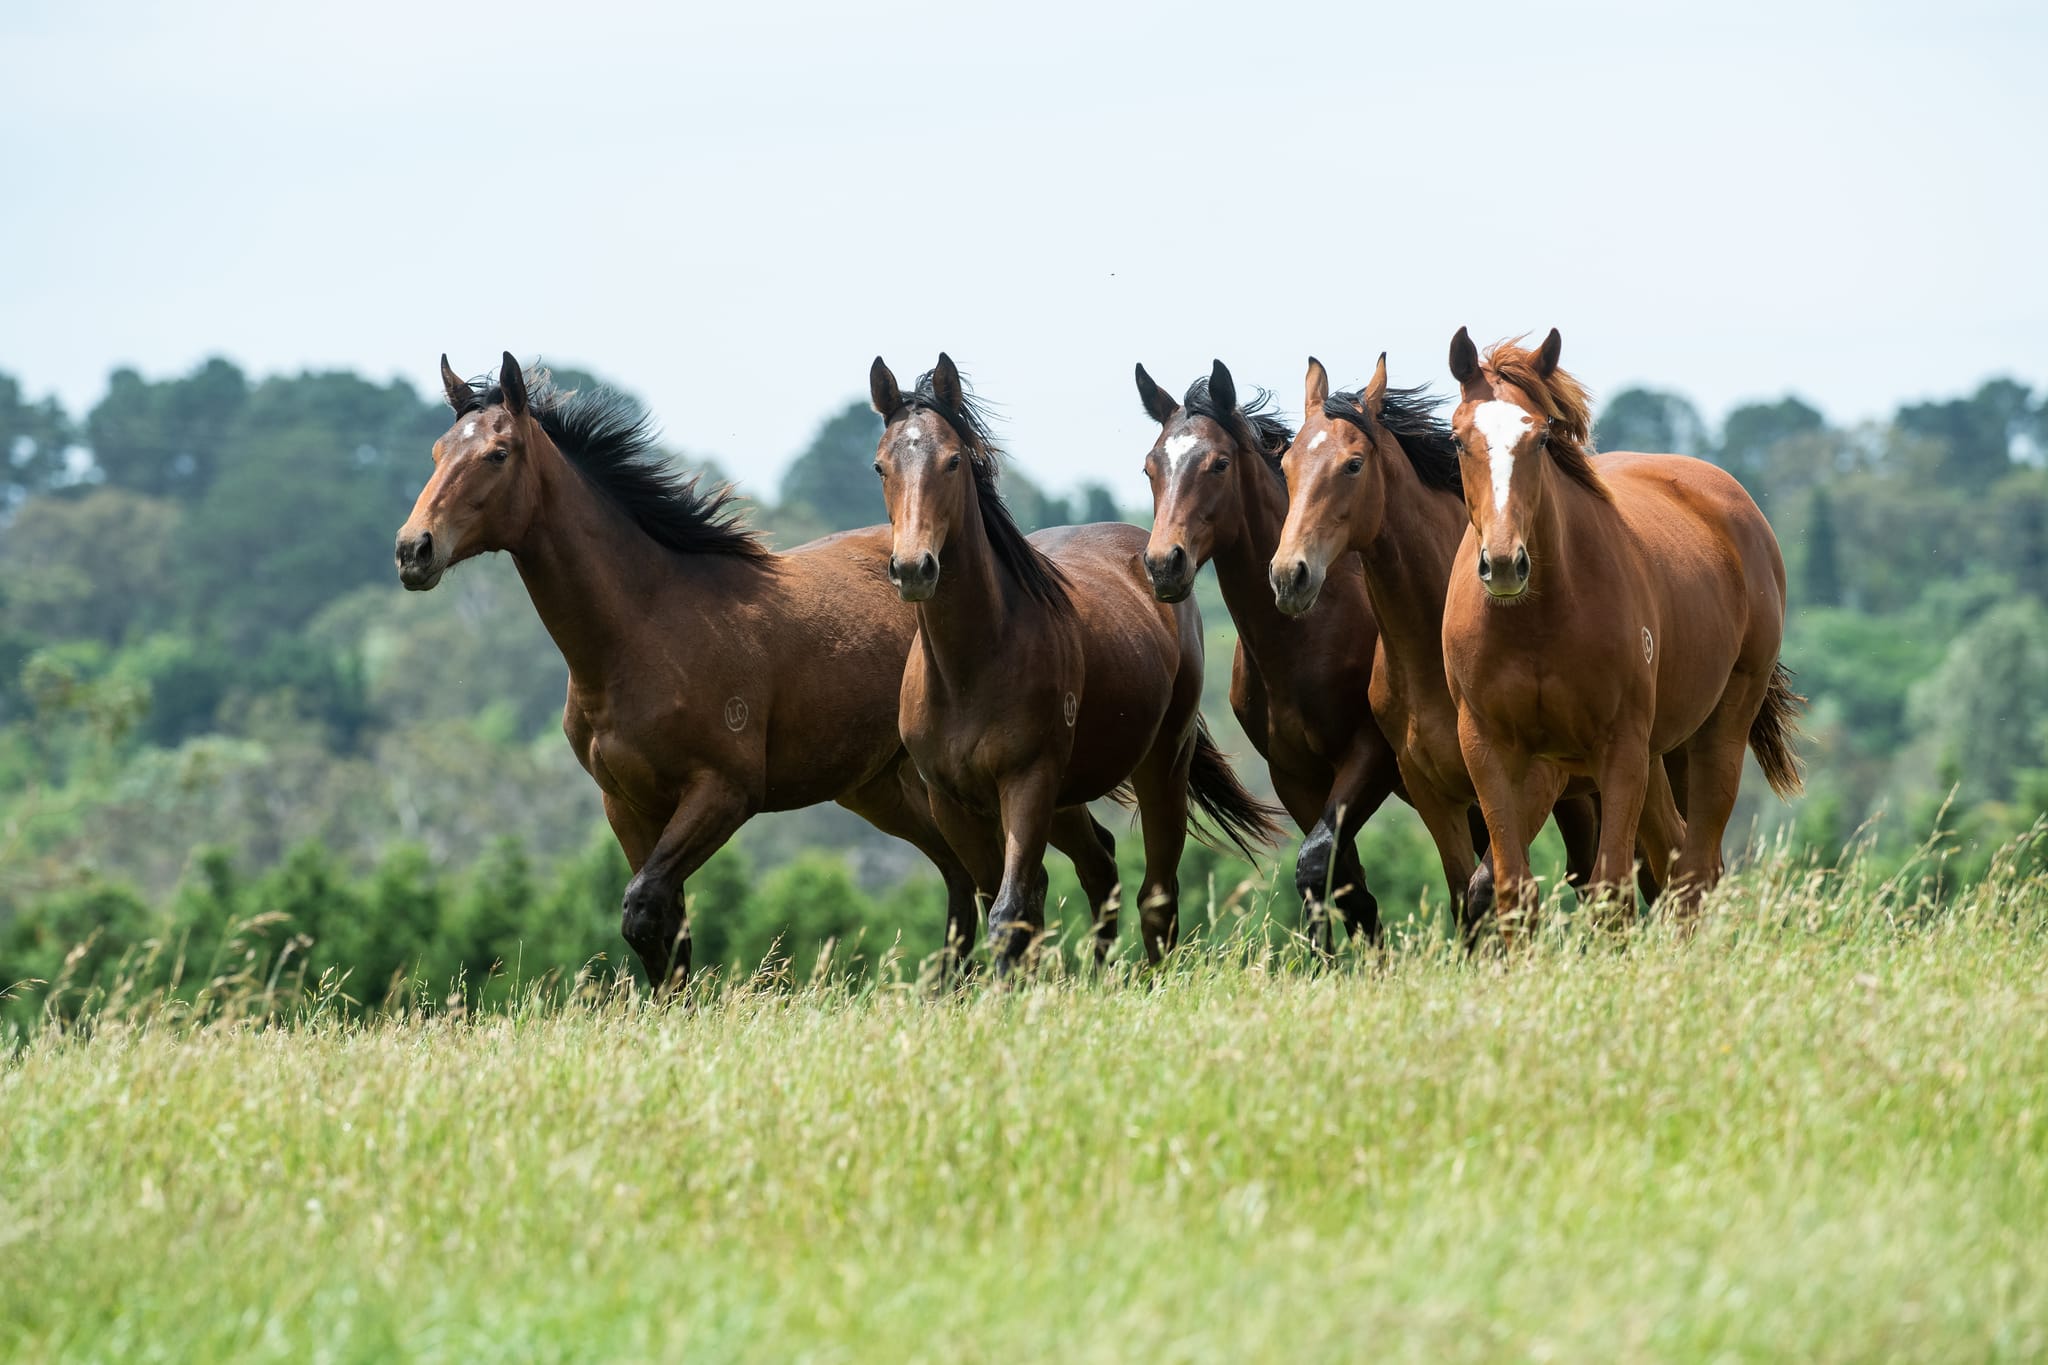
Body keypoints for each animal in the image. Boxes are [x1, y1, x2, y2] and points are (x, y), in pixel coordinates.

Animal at [393, 352, 1115, 989]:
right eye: (436, 453)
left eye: (498, 453)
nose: (412, 550)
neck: (645, 629)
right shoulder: (626, 804)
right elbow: (665, 926)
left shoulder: (724, 792)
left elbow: (645, 908)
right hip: (889, 787)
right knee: (966, 876)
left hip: (1026, 784)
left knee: (1065, 863)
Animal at [870, 354, 1284, 968]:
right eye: (880, 466)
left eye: (952, 461)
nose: (913, 567)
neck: (970, 666)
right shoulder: (952, 802)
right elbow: (1004, 900)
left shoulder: (1028, 783)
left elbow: (1009, 909)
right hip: (1065, 800)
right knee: (1100, 866)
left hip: (1159, 763)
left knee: (1154, 891)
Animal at [1134, 359, 1402, 952]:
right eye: (1150, 467)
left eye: (1219, 463)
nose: (1164, 565)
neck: (1309, 636)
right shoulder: (1294, 776)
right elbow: (1341, 884)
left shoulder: (1370, 756)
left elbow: (1319, 868)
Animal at [1265, 353, 1605, 933]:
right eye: (1286, 465)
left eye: (1353, 465)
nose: (1290, 575)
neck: (1429, 652)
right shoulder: (1434, 790)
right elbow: (1466, 897)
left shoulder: (1531, 780)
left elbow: (1495, 890)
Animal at [1440, 328, 1804, 931]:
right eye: (1459, 440)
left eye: (1541, 438)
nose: (1505, 564)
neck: (1536, 624)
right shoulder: (1489, 749)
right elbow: (1511, 887)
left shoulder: (1619, 747)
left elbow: (1612, 888)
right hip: (1654, 759)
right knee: (1677, 860)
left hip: (1715, 733)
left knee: (1696, 867)